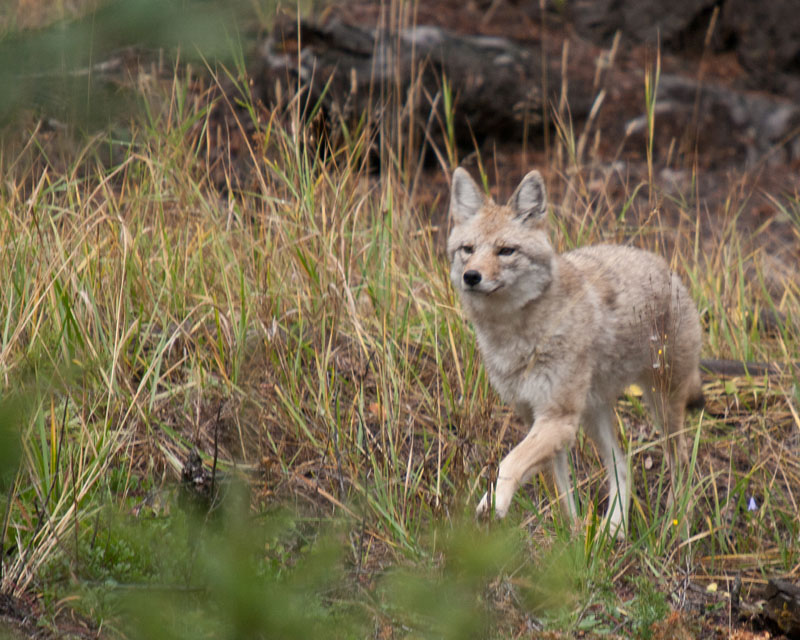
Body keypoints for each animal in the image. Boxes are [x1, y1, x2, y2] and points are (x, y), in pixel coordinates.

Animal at [447, 167, 703, 537]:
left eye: (506, 251)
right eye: (467, 249)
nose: (471, 276)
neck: (515, 335)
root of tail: (668, 271)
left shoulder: (557, 419)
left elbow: (508, 463)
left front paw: (493, 504)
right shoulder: (538, 419)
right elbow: (560, 492)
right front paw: (572, 536)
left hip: (660, 410)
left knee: (680, 463)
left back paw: (676, 527)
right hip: (595, 417)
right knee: (623, 467)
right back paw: (613, 531)